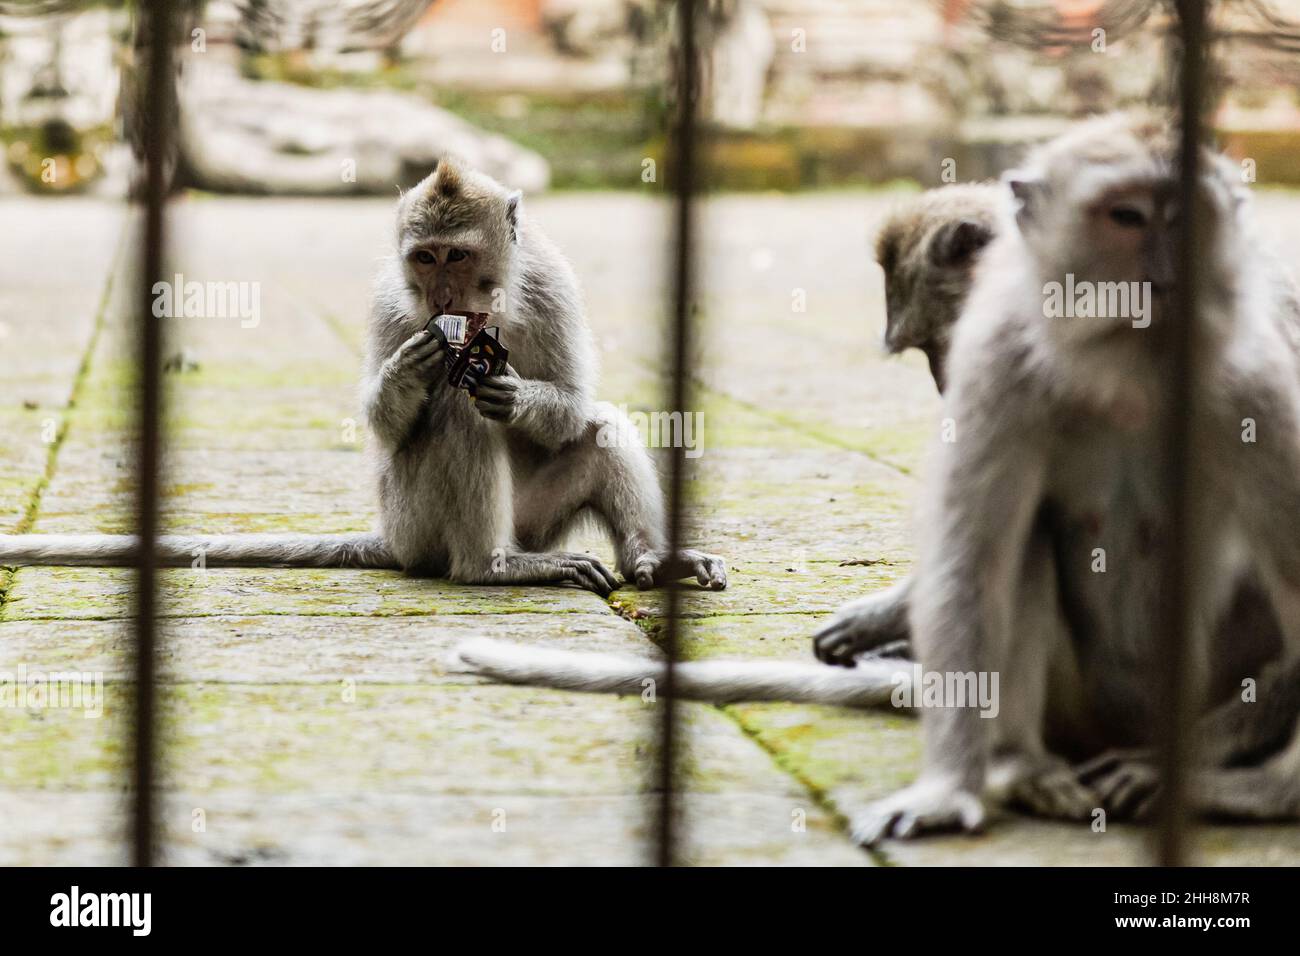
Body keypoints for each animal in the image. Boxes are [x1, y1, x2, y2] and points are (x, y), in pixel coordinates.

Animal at [0, 159, 728, 597]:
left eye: (459, 255)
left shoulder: (550, 280)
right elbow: (386, 420)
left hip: (532, 518)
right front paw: (409, 372)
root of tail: (394, 539)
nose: (441, 293)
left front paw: (513, 392)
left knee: (598, 427)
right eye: (426, 258)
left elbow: (575, 408)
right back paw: (489, 567)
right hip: (414, 523)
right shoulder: (392, 301)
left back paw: (650, 560)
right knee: (456, 419)